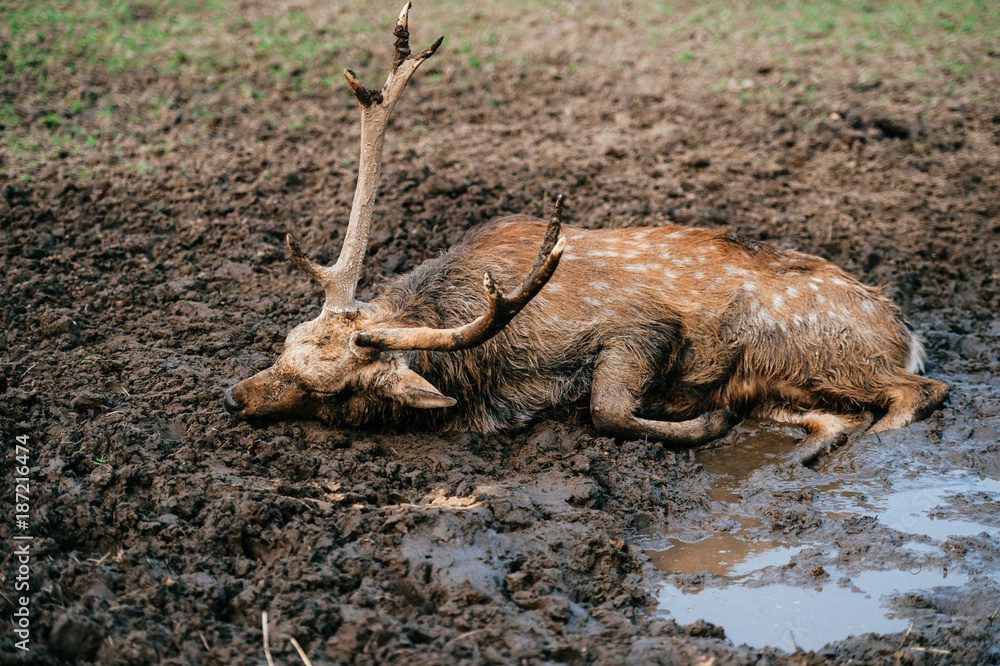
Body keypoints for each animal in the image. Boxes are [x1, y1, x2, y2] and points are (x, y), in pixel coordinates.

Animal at [223, 3, 947, 464]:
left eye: (333, 391)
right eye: (284, 346)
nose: (235, 396)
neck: (493, 370)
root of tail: (906, 334)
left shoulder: (638, 326)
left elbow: (607, 409)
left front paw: (701, 417)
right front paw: (711, 417)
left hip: (815, 349)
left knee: (922, 392)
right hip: (788, 381)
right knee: (835, 414)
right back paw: (795, 455)